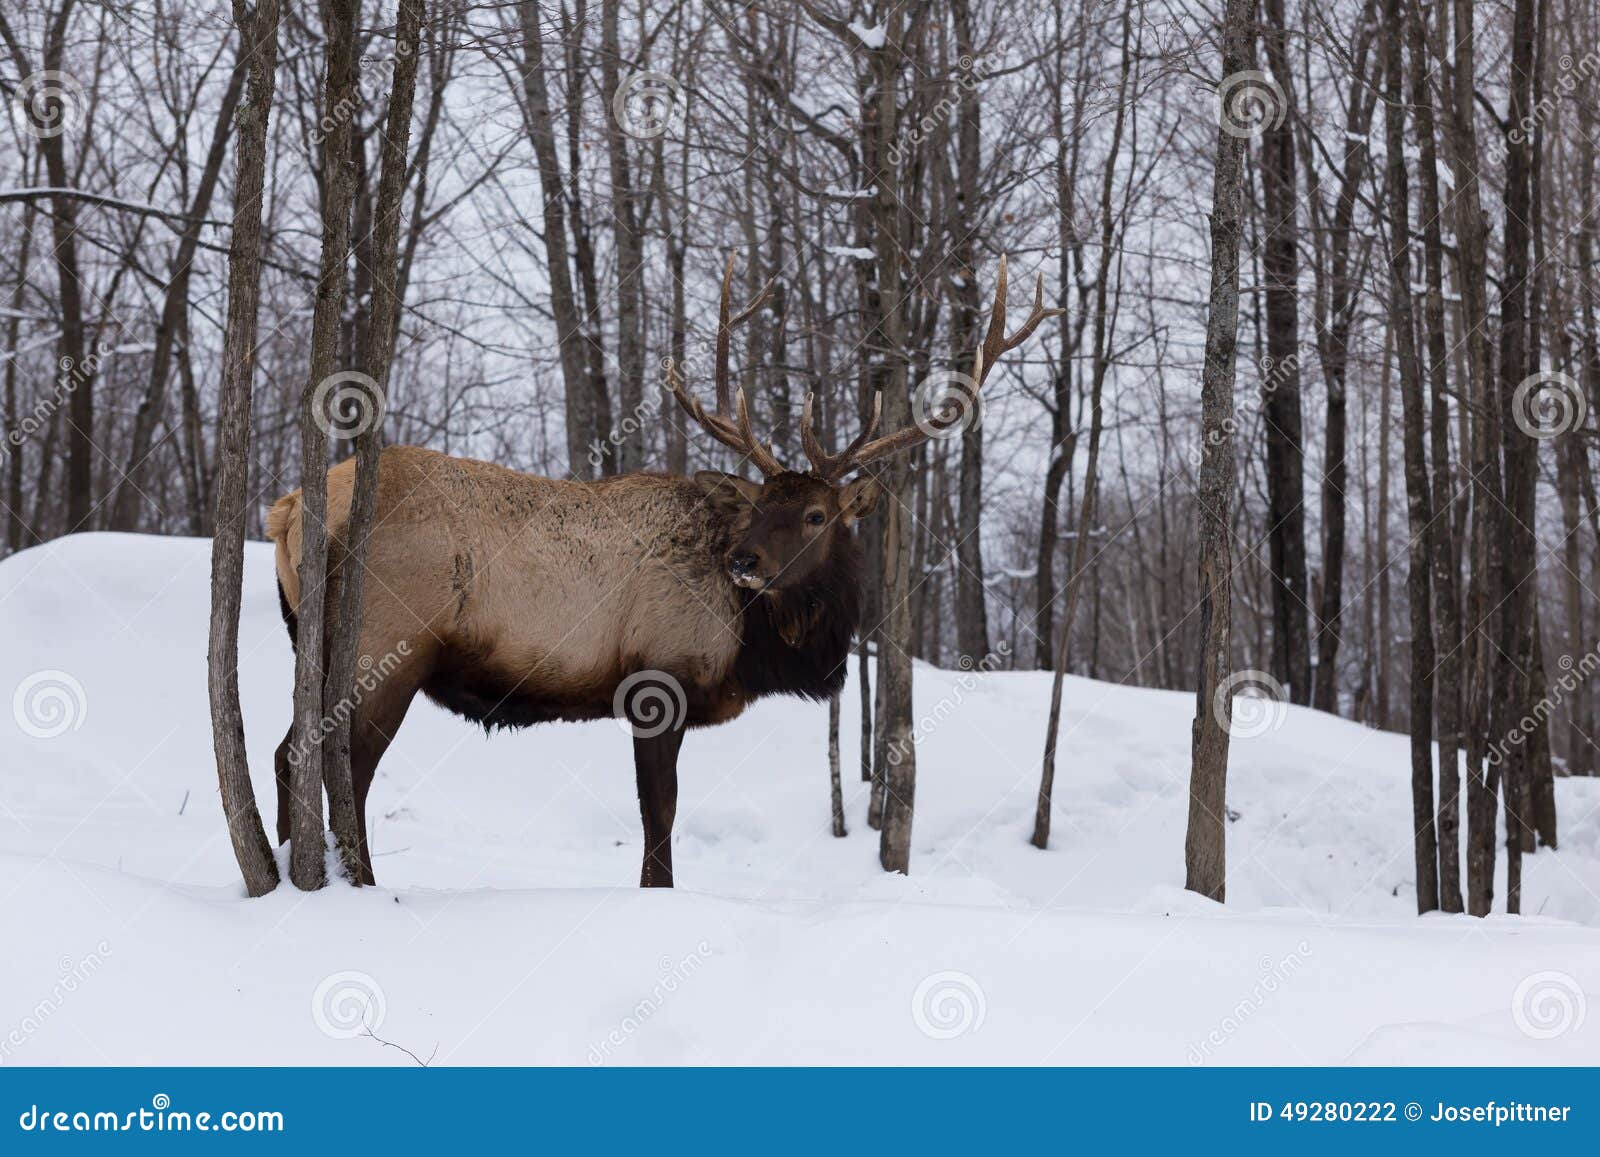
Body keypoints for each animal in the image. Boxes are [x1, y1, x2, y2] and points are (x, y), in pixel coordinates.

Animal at [266, 256, 1057, 887]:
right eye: (760, 504)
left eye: (815, 515)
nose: (744, 562)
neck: (753, 646)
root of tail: (286, 509)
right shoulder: (659, 677)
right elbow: (660, 818)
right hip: (389, 641)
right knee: (337, 761)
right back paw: (359, 883)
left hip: (322, 638)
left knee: (296, 754)